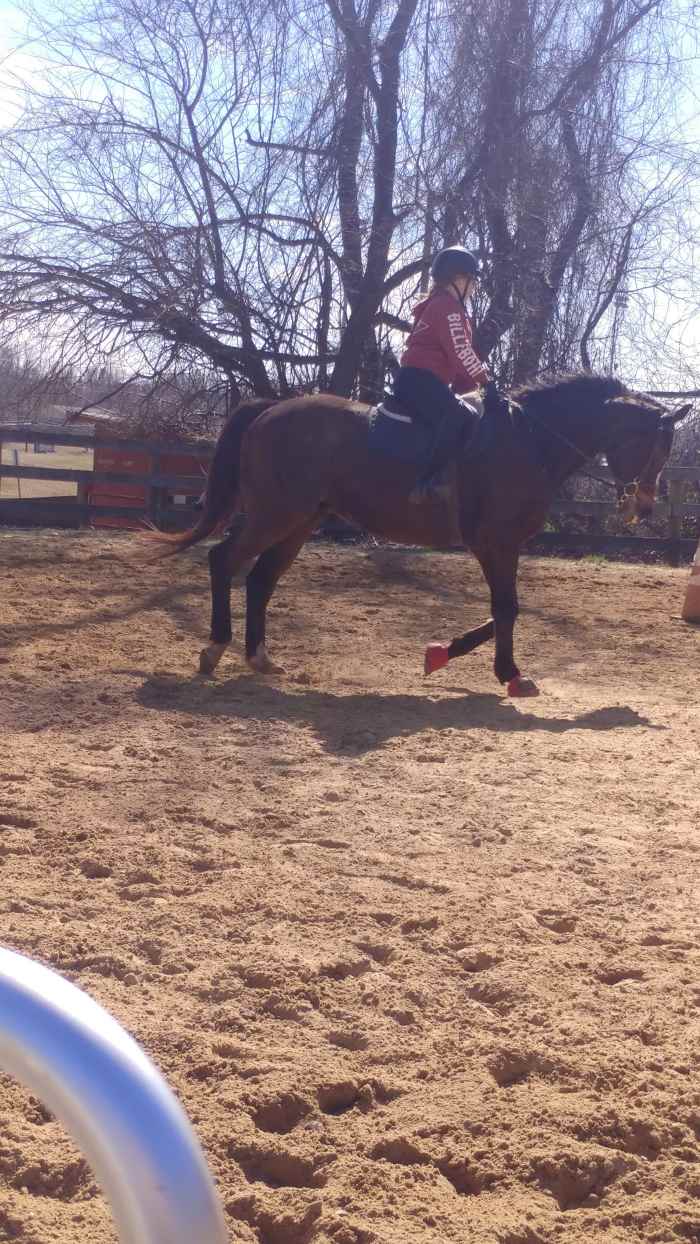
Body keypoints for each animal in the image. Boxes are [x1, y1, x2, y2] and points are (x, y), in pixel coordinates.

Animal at [147, 373, 691, 696]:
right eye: (653, 446)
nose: (643, 506)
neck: (530, 441)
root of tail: (269, 410)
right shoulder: (496, 544)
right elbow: (506, 609)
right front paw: (510, 675)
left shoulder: (503, 546)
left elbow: (502, 612)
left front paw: (443, 654)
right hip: (276, 515)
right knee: (223, 561)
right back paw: (215, 649)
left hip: (298, 521)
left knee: (260, 580)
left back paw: (260, 658)